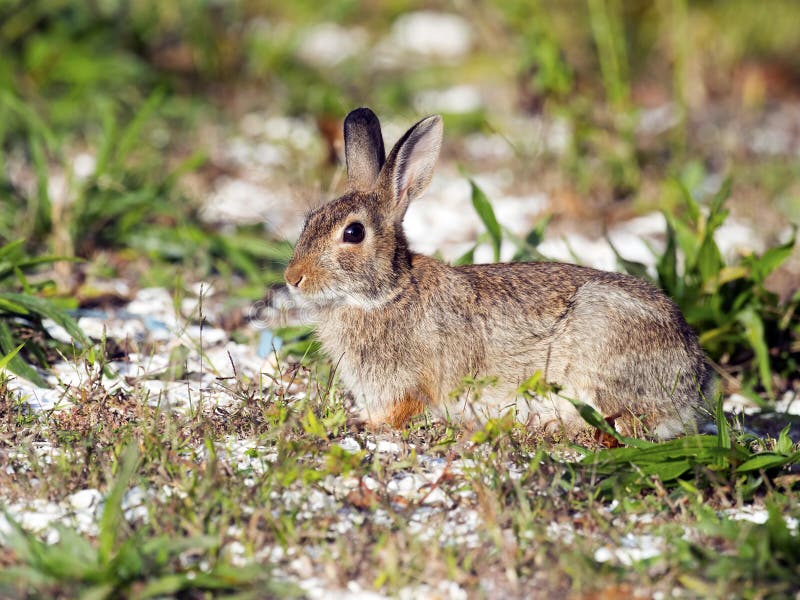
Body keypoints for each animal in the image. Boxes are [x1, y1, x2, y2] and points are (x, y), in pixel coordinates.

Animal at [283, 107, 713, 439]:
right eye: (309, 219)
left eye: (353, 233)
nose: (292, 278)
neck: (387, 293)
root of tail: (691, 381)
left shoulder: (410, 385)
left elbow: (402, 411)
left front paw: (364, 425)